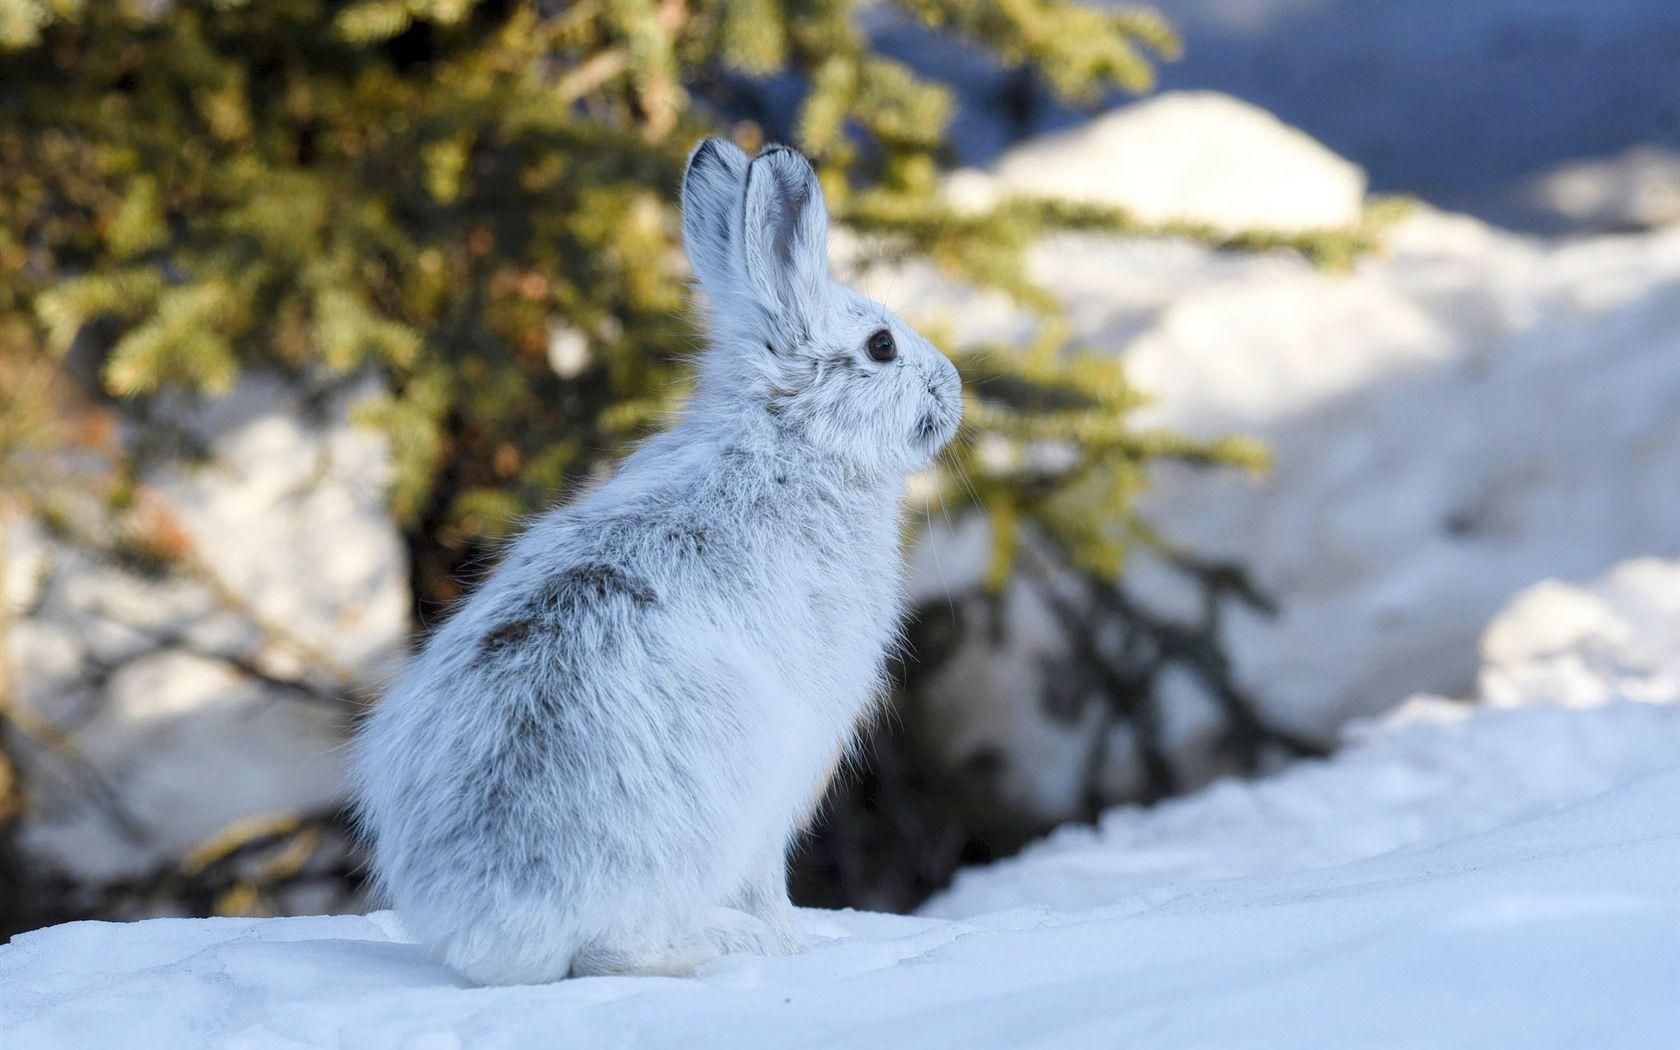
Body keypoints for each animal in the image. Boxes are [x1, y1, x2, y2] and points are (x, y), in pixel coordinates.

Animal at [350, 138, 963, 985]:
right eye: (881, 346)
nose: (955, 391)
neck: (793, 440)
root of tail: (499, 921)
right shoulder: (795, 759)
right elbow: (770, 879)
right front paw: (796, 939)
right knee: (619, 947)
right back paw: (738, 943)